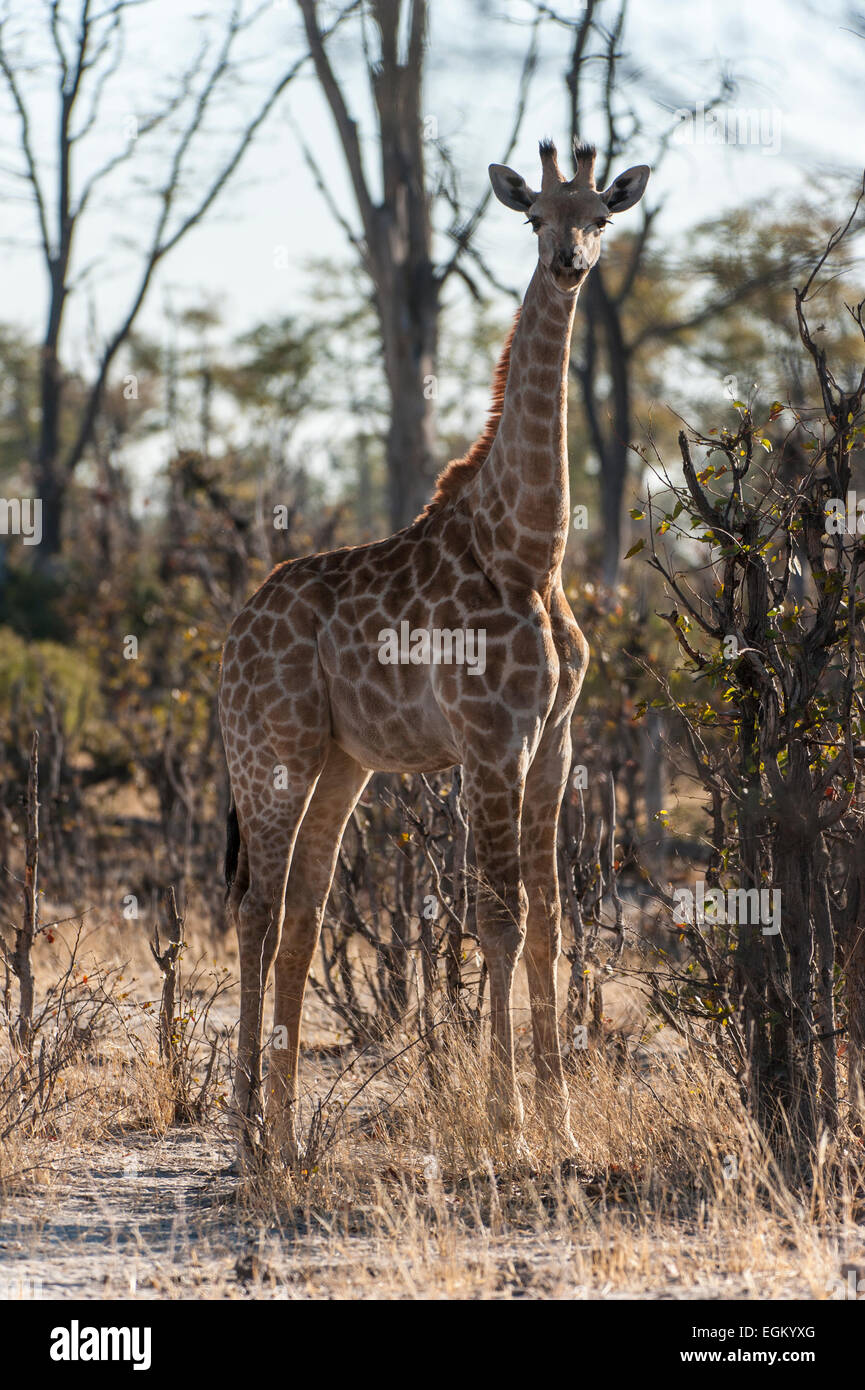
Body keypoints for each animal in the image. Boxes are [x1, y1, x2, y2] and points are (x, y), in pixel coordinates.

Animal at [218, 138, 649, 1159]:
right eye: (533, 215)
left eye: (600, 218)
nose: (568, 264)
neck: (530, 549)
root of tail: (229, 640)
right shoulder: (490, 742)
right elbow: (496, 918)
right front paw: (509, 1124)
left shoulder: (554, 743)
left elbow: (551, 923)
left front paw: (560, 1124)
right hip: (270, 755)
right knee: (255, 907)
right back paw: (245, 1129)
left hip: (341, 763)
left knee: (301, 913)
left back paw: (285, 1135)